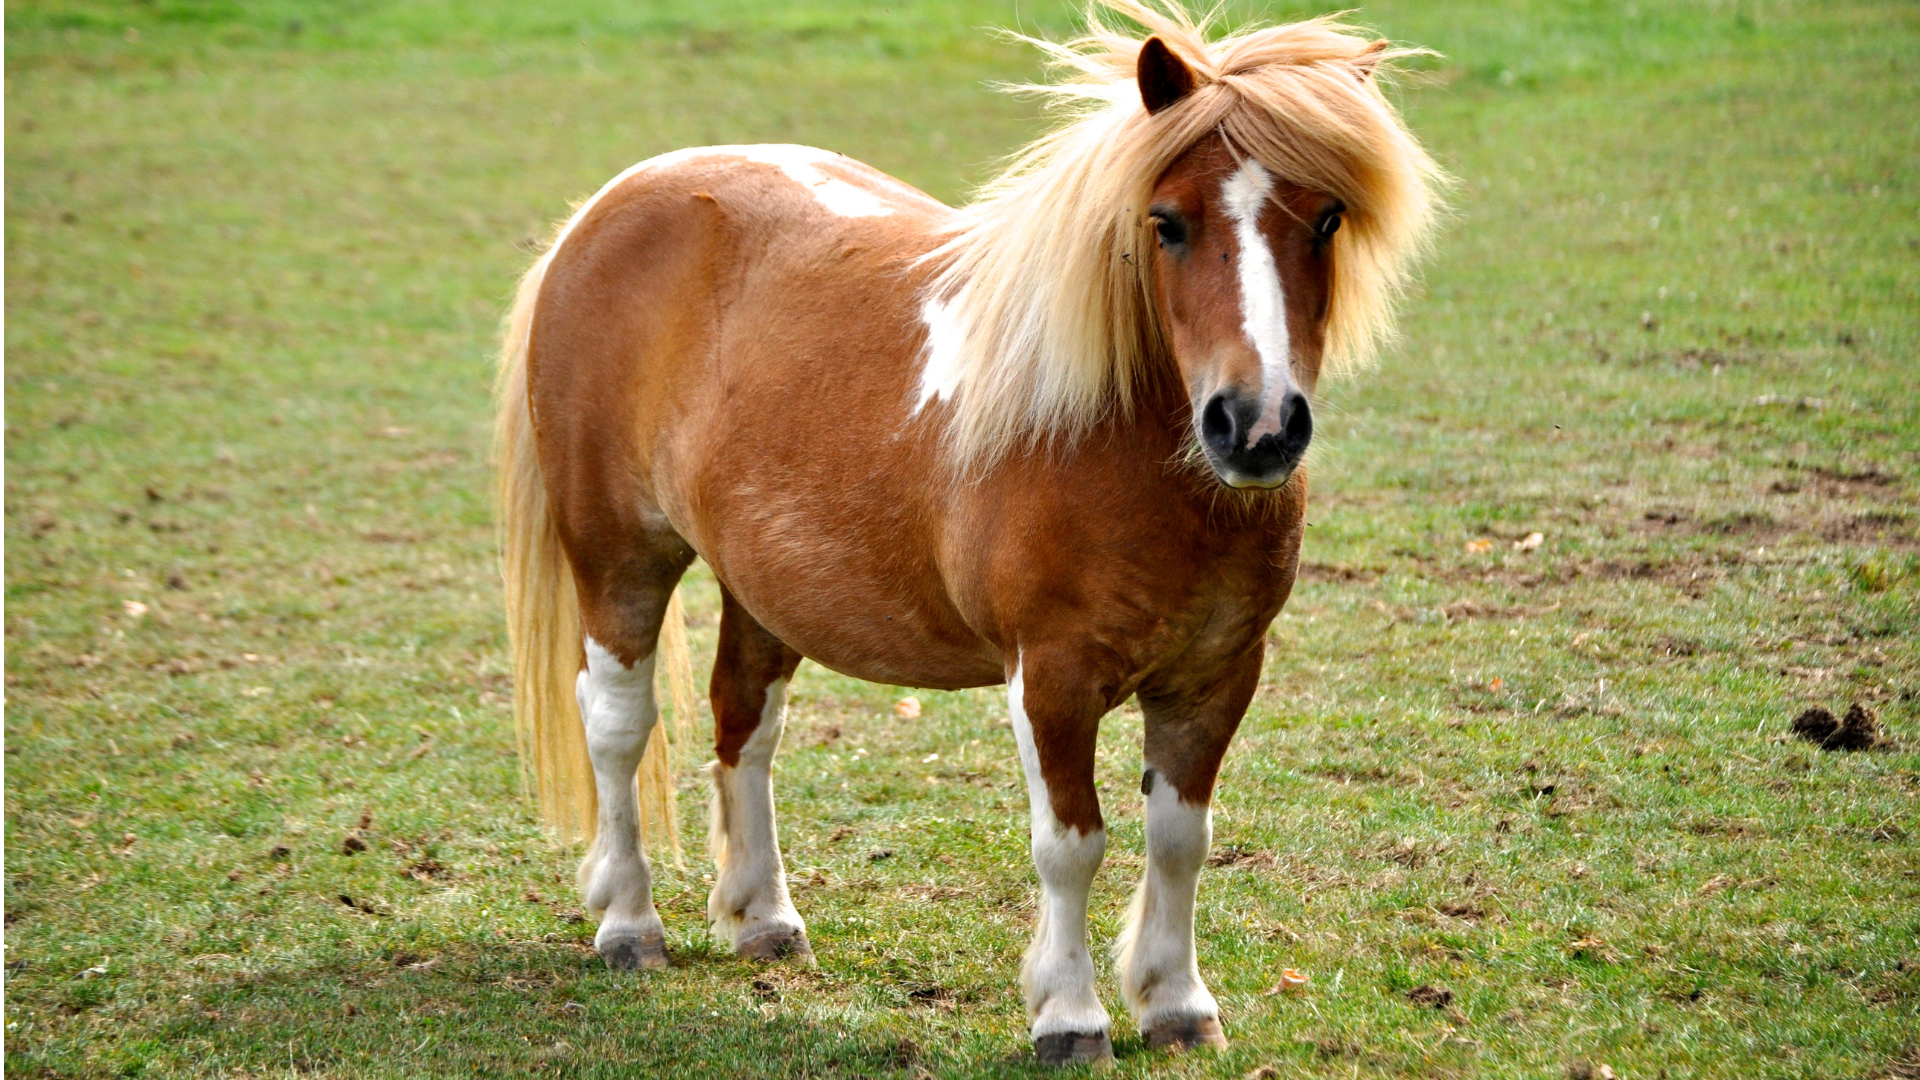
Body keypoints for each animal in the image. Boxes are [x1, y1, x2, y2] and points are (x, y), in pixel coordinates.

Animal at [495, 0, 1441, 1065]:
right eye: (1167, 223)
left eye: (1326, 219)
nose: (1258, 426)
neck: (1114, 442)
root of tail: (604, 208)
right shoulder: (1052, 678)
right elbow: (1073, 845)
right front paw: (1070, 1016)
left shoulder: (1215, 677)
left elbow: (1180, 841)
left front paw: (1176, 1005)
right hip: (619, 558)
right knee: (617, 726)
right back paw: (629, 925)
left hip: (760, 585)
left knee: (746, 721)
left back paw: (763, 919)